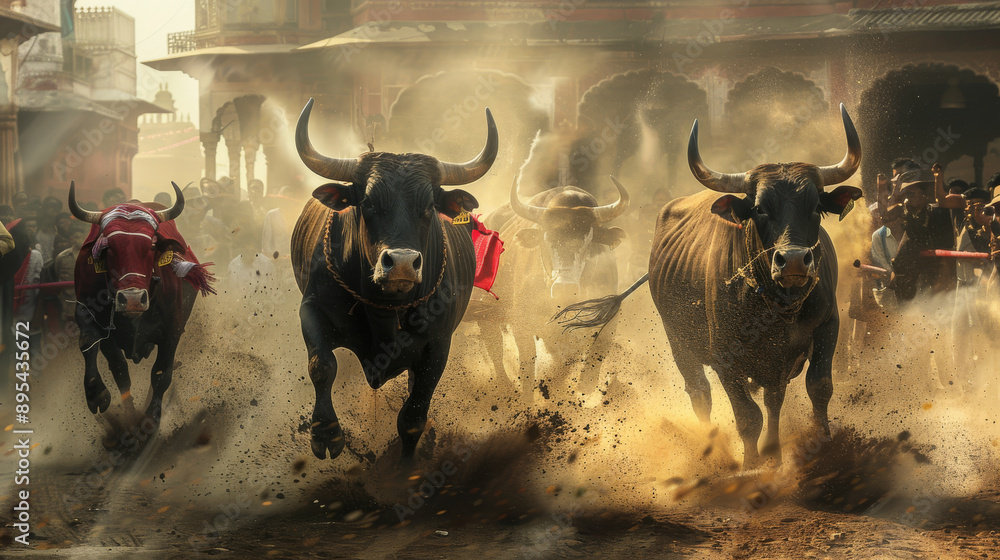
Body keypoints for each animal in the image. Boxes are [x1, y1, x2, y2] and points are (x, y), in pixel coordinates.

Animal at [69, 182, 216, 425]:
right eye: (109, 247)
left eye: (151, 245)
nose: (132, 300)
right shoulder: (91, 317)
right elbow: (113, 366)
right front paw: (98, 396)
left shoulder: (172, 332)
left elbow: (161, 375)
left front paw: (150, 420)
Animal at [290, 98, 496, 463]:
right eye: (369, 203)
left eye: (428, 206)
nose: (400, 264)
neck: (385, 307)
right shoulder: (311, 309)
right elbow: (322, 364)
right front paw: (325, 432)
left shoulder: (438, 345)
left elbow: (413, 416)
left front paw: (405, 468)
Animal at [475, 176, 629, 401]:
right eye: (545, 239)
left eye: (589, 242)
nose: (565, 288)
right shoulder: (523, 325)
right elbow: (527, 372)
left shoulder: (608, 326)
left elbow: (587, 376)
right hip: (484, 312)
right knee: (494, 349)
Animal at [555, 104, 863, 467]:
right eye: (759, 209)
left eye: (816, 207)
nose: (794, 261)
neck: (778, 307)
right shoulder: (725, 357)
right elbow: (747, 416)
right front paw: (751, 466)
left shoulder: (828, 328)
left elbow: (818, 388)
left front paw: (820, 446)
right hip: (679, 343)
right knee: (700, 394)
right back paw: (709, 448)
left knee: (773, 398)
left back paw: (773, 453)